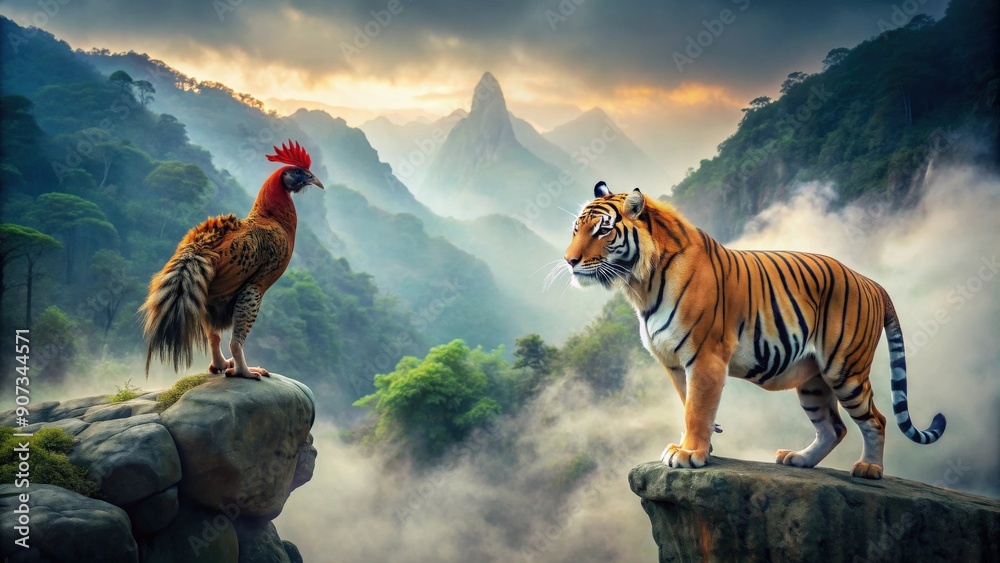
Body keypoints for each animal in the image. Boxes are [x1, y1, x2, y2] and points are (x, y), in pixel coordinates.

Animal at [563, 181, 946, 479]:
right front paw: (702, 448)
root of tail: (872, 282)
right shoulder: (673, 363)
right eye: (576, 229)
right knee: (833, 427)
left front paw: (688, 454)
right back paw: (799, 460)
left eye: (602, 230)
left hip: (845, 370)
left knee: (876, 420)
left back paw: (869, 469)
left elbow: (696, 408)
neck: (639, 283)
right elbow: (687, 404)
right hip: (812, 380)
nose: (569, 261)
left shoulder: (705, 356)